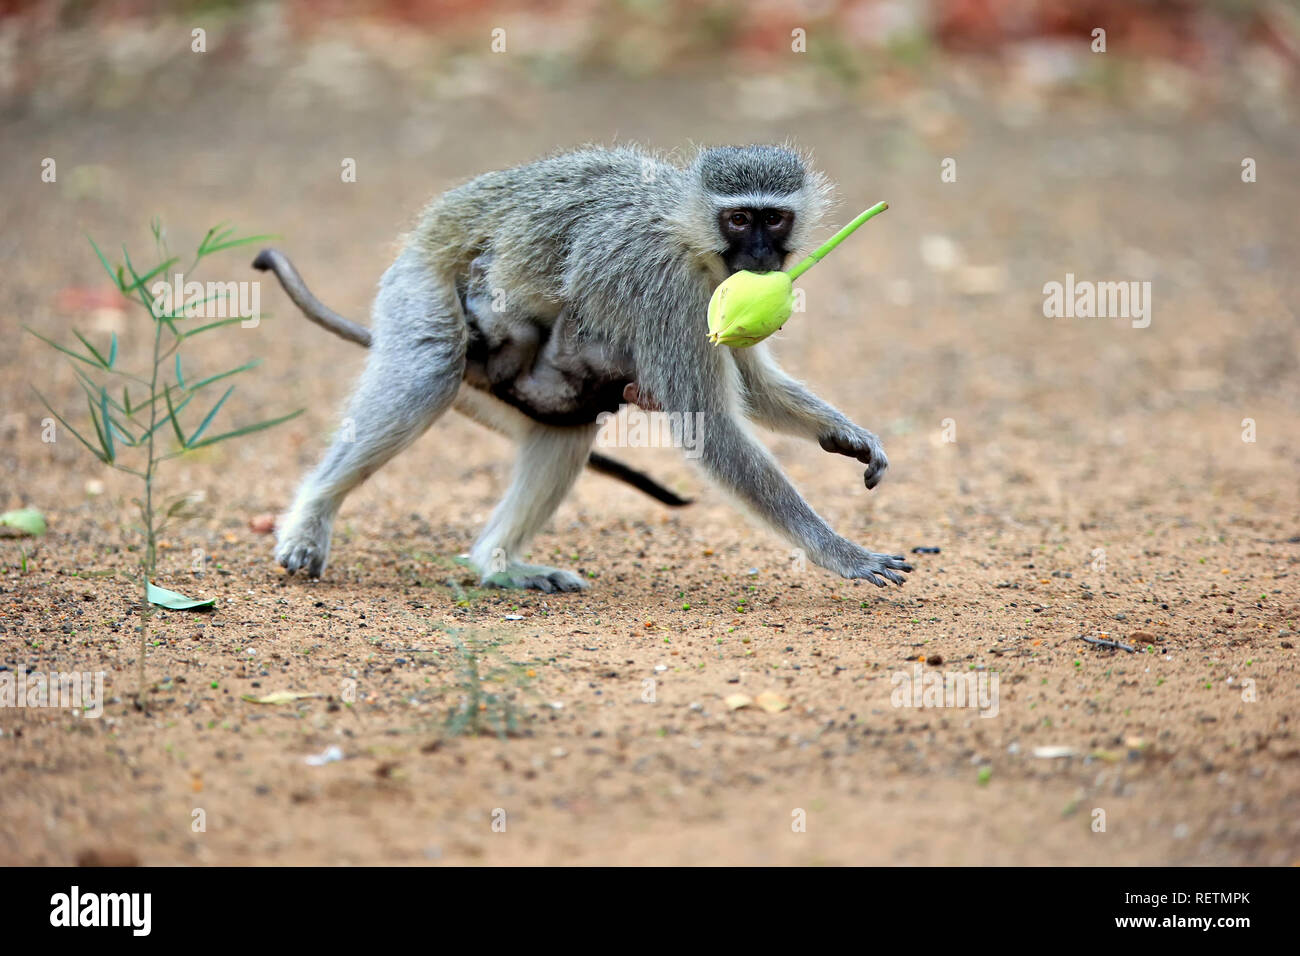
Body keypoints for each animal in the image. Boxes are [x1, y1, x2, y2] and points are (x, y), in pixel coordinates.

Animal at [260, 144, 911, 592]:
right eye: (739, 220)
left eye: (772, 219)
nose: (758, 257)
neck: (690, 235)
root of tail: (431, 226)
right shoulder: (666, 290)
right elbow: (711, 429)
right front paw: (840, 553)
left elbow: (752, 385)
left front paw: (845, 434)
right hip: (420, 285)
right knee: (430, 373)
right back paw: (311, 515)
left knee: (566, 430)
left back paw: (497, 565)